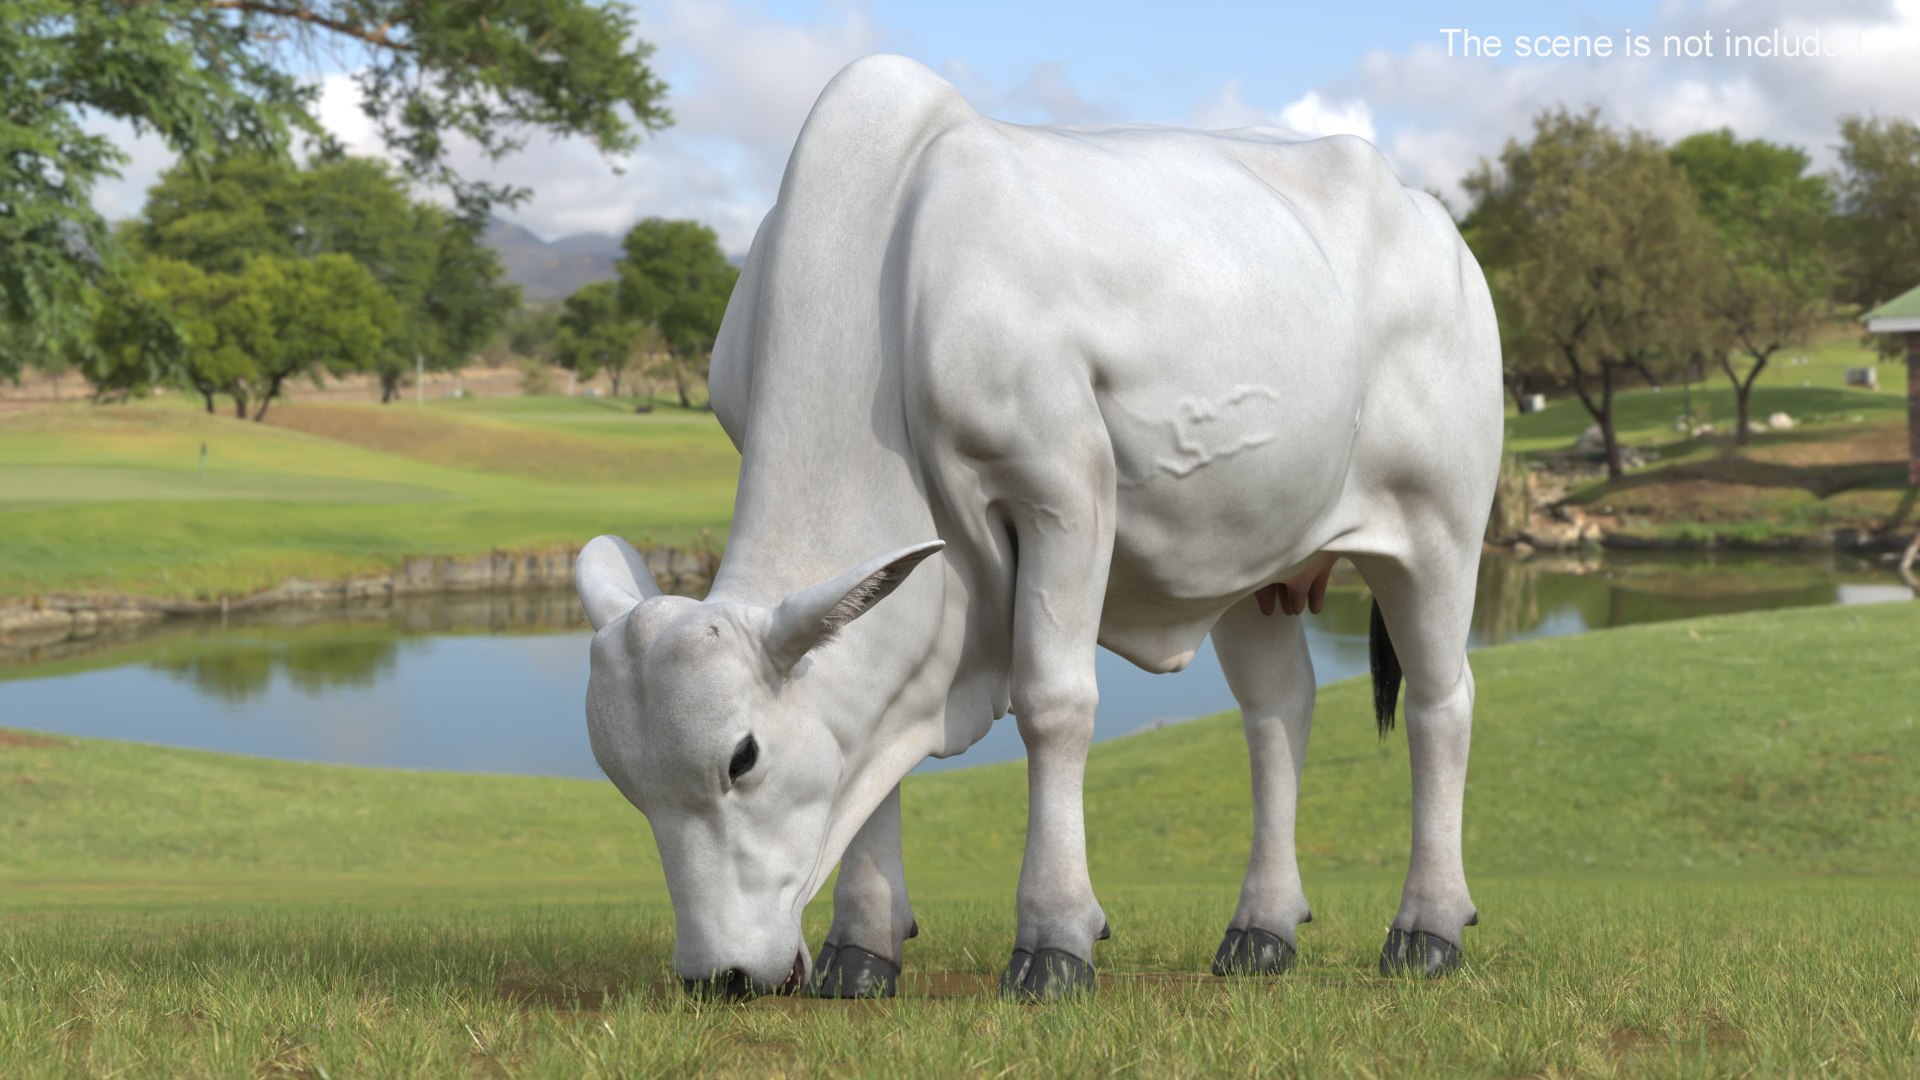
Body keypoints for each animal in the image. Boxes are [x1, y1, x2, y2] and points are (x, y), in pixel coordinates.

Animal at [576, 54, 1503, 1001]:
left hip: (1439, 524)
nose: (718, 976)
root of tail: (1431, 214)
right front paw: (863, 944)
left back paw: (1428, 927)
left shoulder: (1063, 491)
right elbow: (870, 748)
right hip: (1250, 556)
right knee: (1277, 712)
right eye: (622, 779)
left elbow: (1054, 704)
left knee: (1441, 702)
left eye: (743, 757)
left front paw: (1055, 939)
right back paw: (1261, 929)